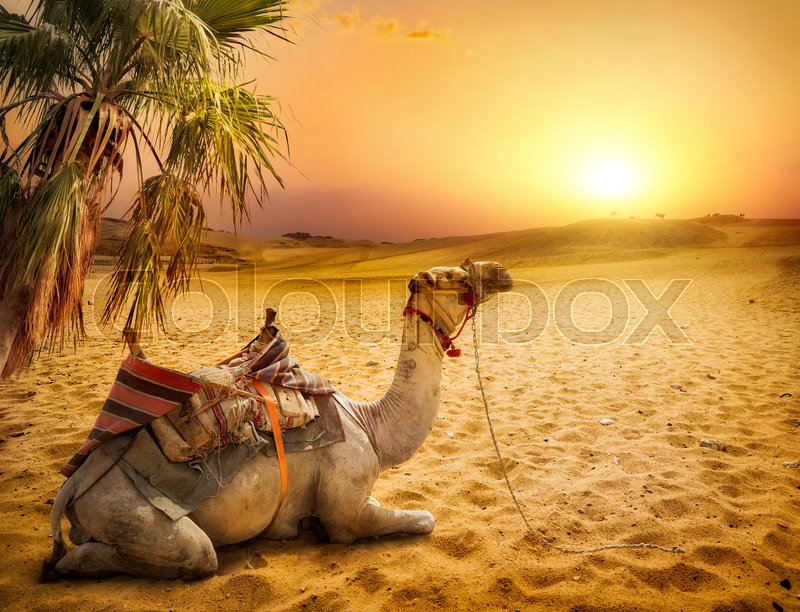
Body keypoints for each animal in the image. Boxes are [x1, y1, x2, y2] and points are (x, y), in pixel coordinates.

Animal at [45, 260, 513, 579]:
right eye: (454, 277)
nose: (502, 272)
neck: (372, 426)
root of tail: (75, 484)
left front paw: (302, 526)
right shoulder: (347, 507)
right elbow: (422, 519)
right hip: (129, 513)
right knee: (190, 554)